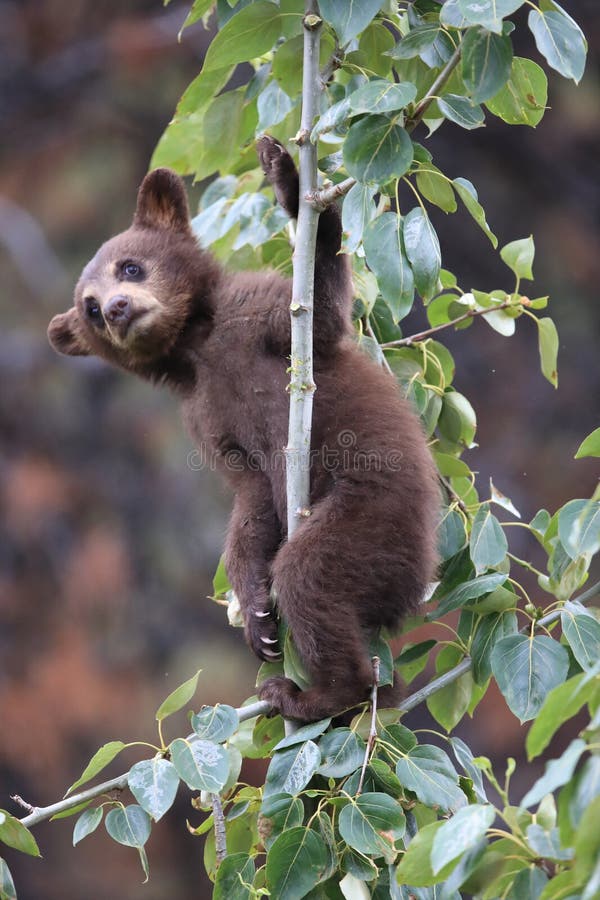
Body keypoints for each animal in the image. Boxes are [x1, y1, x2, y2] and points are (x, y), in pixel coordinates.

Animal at [47, 136, 439, 722]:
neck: (197, 343)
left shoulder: (259, 317)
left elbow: (319, 309)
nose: (115, 308)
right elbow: (249, 490)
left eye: (131, 267)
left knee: (308, 573)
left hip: (376, 514)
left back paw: (317, 694)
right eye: (89, 308)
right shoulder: (204, 411)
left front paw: (292, 184)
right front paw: (255, 613)